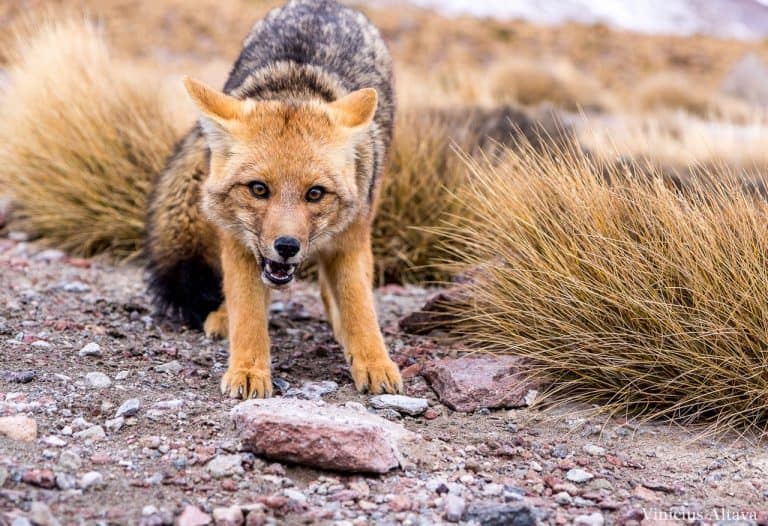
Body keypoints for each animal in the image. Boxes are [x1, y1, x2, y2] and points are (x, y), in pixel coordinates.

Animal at [144, 0, 403, 399]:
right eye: (258, 189)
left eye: (315, 193)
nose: (287, 246)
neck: (296, 87)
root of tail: (325, 4)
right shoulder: (238, 244)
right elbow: (248, 312)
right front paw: (249, 370)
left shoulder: (351, 240)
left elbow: (359, 305)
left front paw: (374, 361)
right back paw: (224, 317)